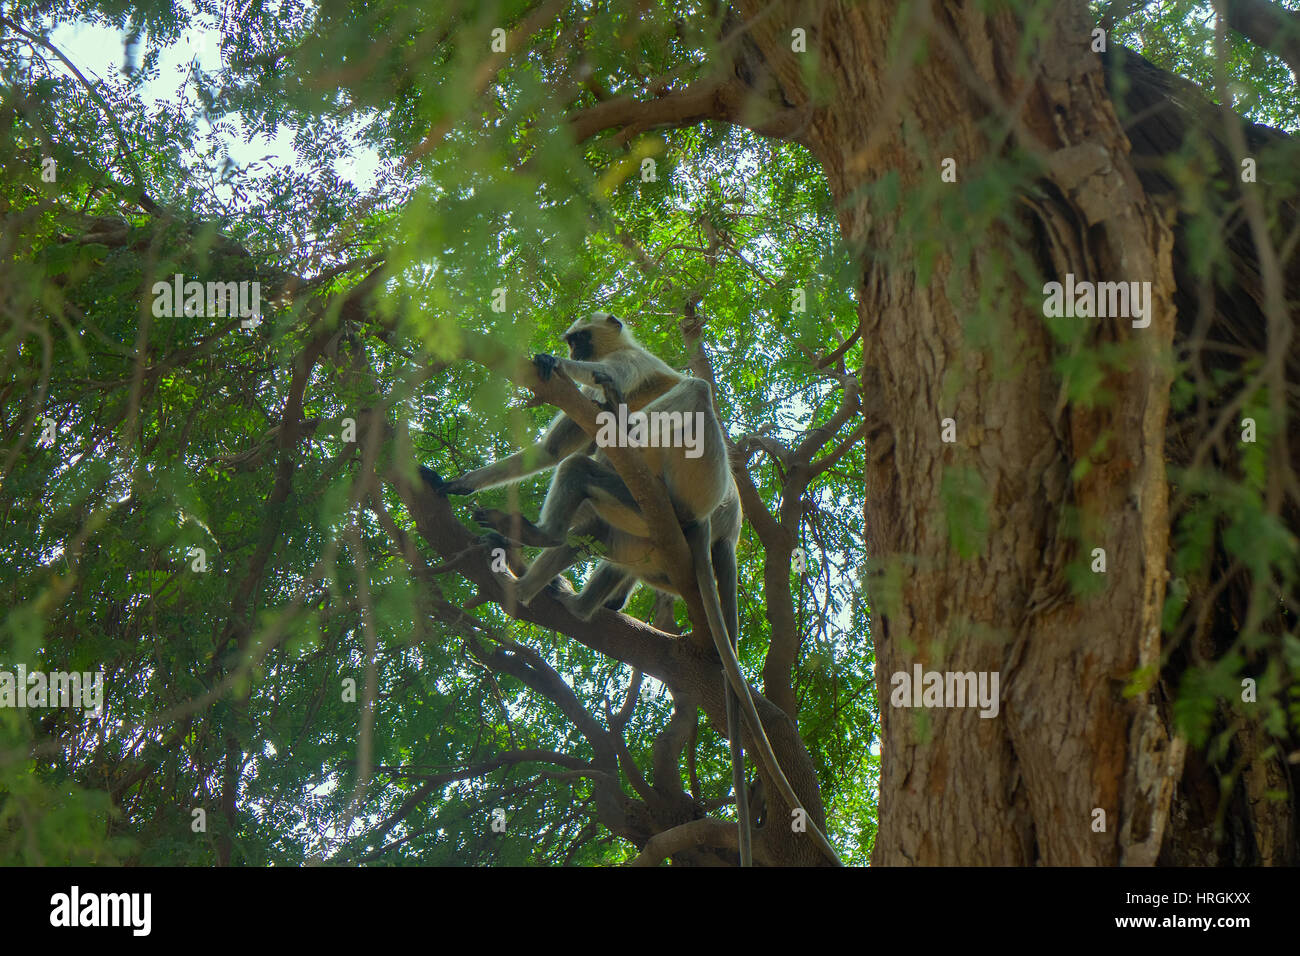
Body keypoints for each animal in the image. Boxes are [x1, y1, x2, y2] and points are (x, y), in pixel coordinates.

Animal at [424, 313, 840, 866]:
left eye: (579, 338)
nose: (571, 348)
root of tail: (715, 519)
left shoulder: (629, 360)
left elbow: (607, 390)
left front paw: (561, 368)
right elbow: (549, 451)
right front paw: (456, 483)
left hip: (684, 474)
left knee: (690, 394)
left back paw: (548, 529)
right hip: (632, 518)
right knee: (587, 500)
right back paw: (545, 590)